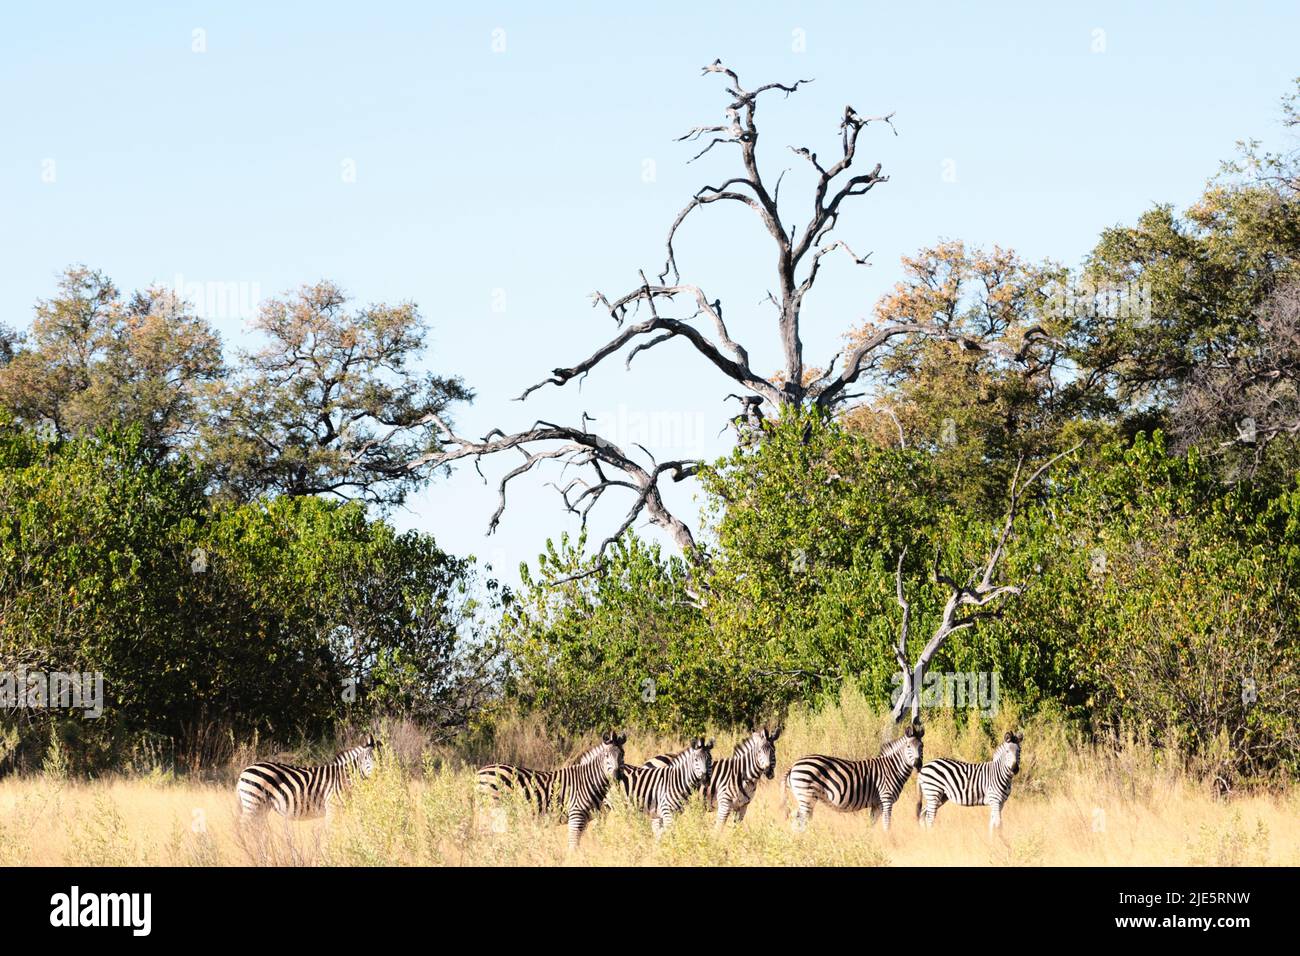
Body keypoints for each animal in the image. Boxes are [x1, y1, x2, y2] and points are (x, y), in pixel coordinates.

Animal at [237, 734, 377, 822]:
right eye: (366, 758)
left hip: (260, 807)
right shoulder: (333, 808)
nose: (376, 775)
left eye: (379, 757)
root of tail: (244, 771)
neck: (346, 777)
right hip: (253, 804)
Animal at [476, 731, 627, 848]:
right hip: (492, 810)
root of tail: (480, 772)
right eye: (606, 755)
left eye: (622, 755)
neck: (589, 781)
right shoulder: (576, 814)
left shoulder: (585, 819)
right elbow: (573, 845)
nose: (617, 776)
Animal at [644, 726, 781, 828]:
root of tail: (648, 761)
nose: (769, 771)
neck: (743, 775)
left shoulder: (742, 806)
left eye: (773, 751)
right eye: (759, 752)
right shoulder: (724, 803)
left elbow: (736, 829)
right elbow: (718, 828)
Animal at [784, 722, 924, 831]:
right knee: (800, 822)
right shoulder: (886, 799)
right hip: (806, 796)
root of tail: (794, 765)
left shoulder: (877, 804)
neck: (892, 768)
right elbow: (887, 824)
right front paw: (888, 840)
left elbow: (871, 825)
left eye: (921, 746)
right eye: (908, 746)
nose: (918, 764)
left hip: (804, 797)